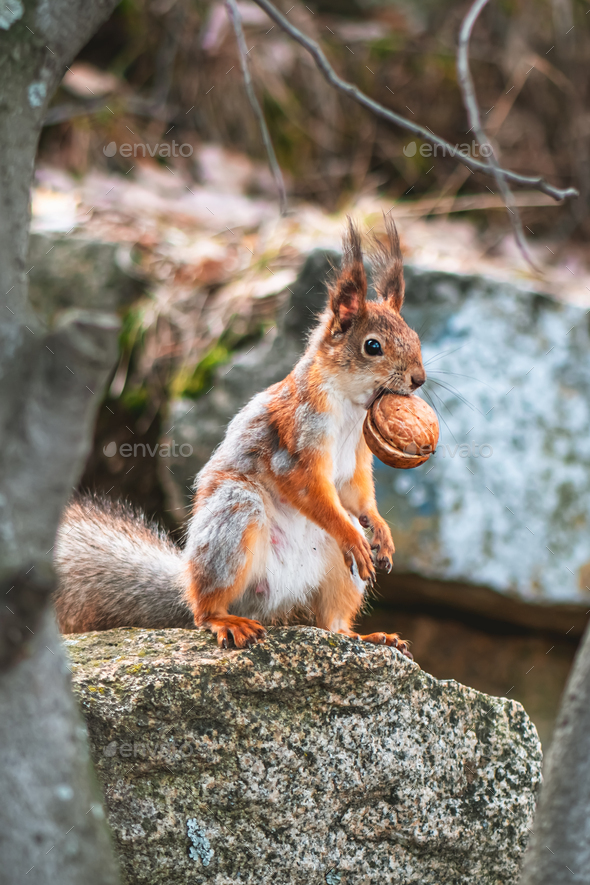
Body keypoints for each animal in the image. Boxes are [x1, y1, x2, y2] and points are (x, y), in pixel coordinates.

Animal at [54, 217, 426, 658]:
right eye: (372, 346)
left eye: (416, 337)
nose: (419, 379)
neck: (351, 408)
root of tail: (273, 605)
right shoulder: (296, 438)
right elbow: (309, 488)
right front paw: (354, 535)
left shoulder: (357, 460)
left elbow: (357, 495)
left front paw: (380, 531)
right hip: (234, 517)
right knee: (206, 607)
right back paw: (225, 620)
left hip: (338, 575)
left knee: (331, 621)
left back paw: (368, 636)